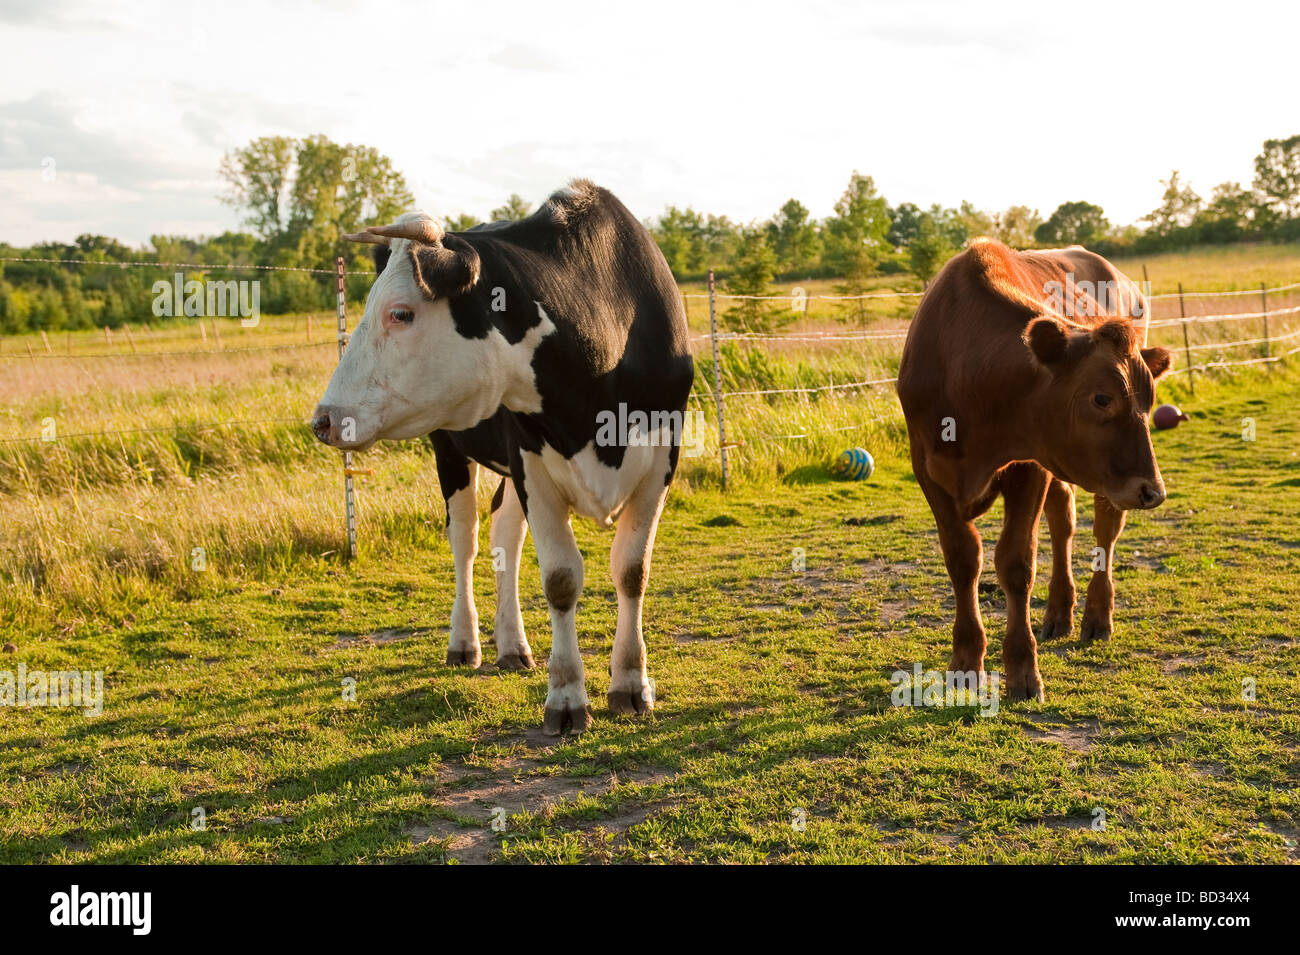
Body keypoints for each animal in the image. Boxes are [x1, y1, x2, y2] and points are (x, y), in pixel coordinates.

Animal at [311, 180, 695, 735]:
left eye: (401, 312)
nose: (323, 419)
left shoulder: (662, 460)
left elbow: (631, 570)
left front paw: (630, 683)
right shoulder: (531, 459)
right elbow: (560, 579)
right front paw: (566, 697)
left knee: (505, 536)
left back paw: (513, 646)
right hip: (449, 447)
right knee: (466, 540)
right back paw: (466, 642)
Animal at [897, 237, 1173, 702]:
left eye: (1149, 401)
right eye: (1102, 398)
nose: (1153, 491)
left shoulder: (1030, 464)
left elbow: (1016, 563)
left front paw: (1023, 670)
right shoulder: (927, 471)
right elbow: (962, 559)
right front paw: (966, 660)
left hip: (1103, 481)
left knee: (1105, 529)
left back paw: (1097, 617)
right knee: (1063, 522)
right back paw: (1059, 611)